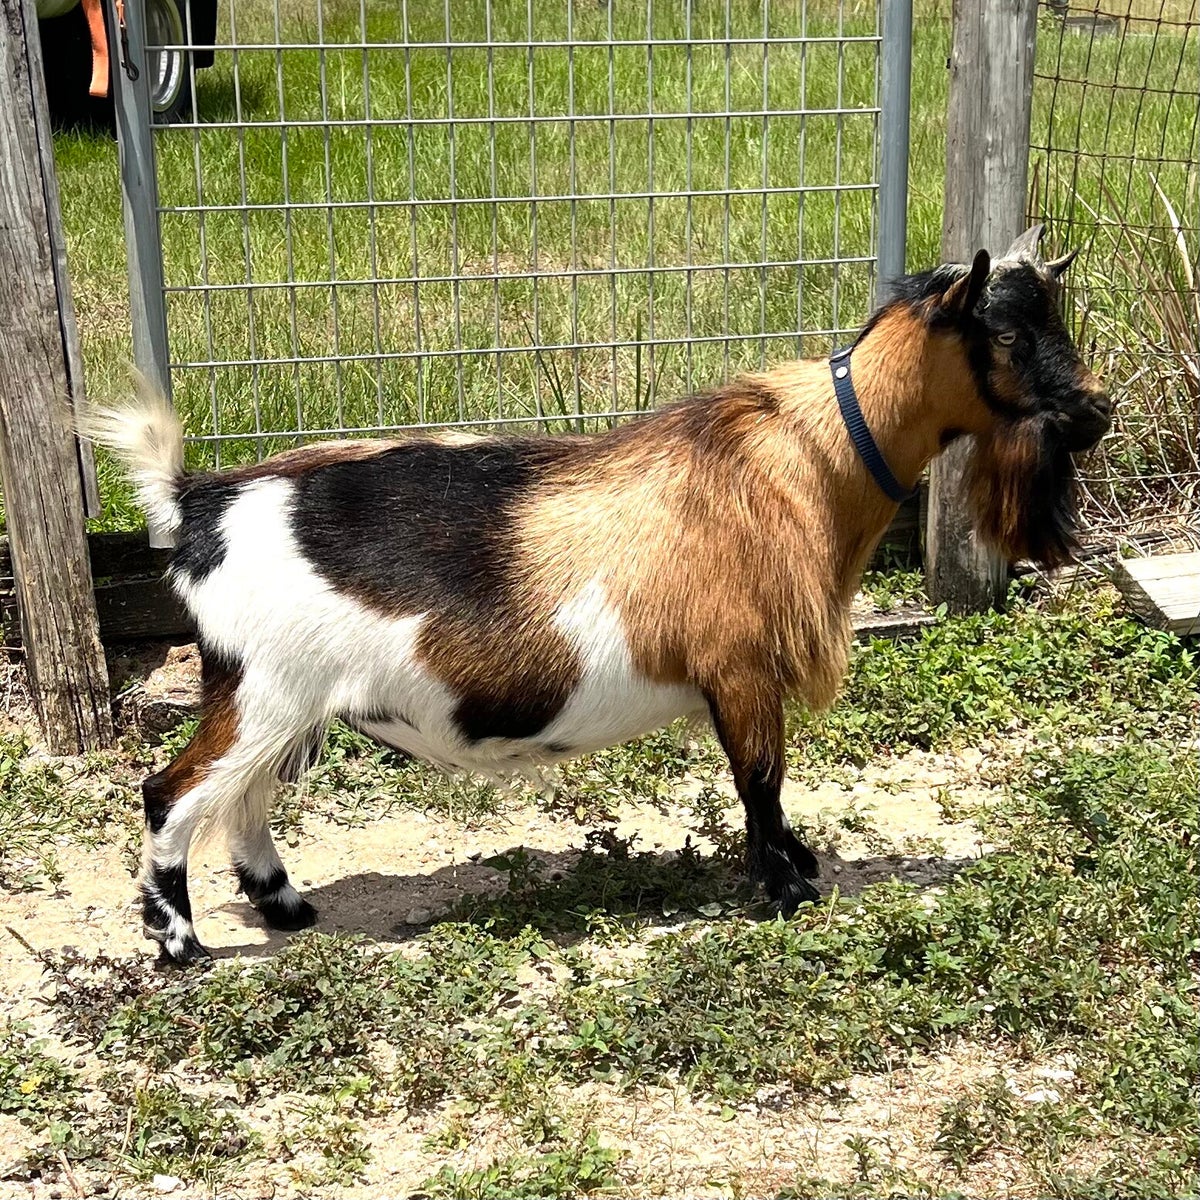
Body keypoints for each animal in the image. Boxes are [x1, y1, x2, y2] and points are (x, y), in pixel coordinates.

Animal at [85, 224, 1110, 965]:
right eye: (1006, 333)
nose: (1097, 411)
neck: (813, 457)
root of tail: (198, 503)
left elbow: (768, 789)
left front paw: (799, 867)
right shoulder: (741, 671)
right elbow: (761, 783)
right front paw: (785, 890)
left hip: (281, 703)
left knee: (243, 799)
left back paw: (287, 905)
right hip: (263, 688)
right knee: (171, 792)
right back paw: (180, 943)